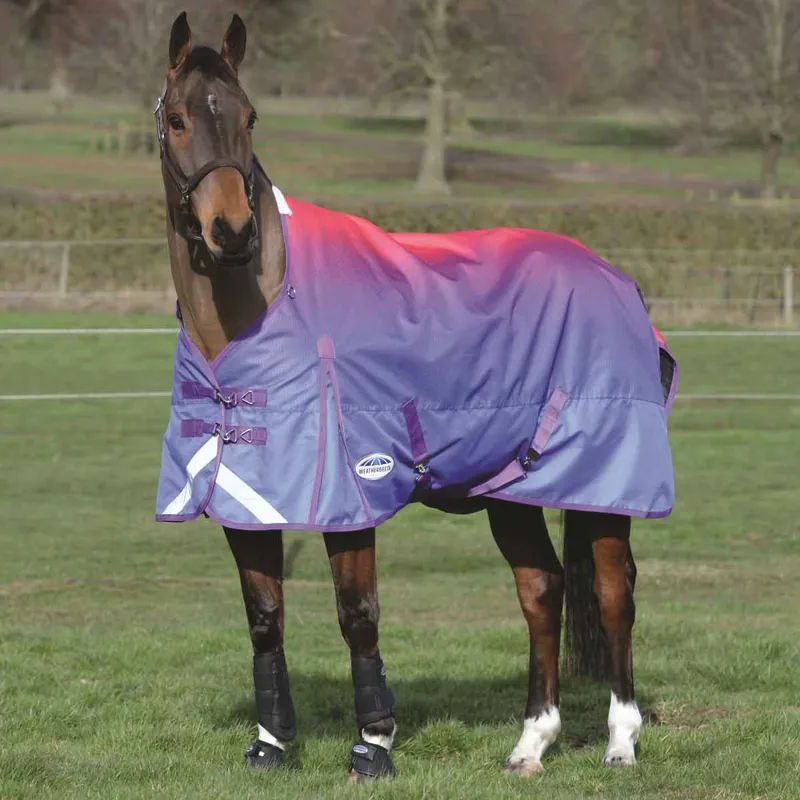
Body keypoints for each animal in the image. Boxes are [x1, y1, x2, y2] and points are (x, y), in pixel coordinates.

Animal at [153, 12, 676, 781]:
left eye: (249, 117)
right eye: (179, 119)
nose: (232, 231)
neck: (262, 309)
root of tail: (619, 281)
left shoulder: (351, 491)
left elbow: (357, 613)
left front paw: (373, 744)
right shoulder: (247, 497)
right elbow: (264, 616)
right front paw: (271, 743)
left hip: (603, 484)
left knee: (613, 593)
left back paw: (619, 740)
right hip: (509, 488)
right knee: (541, 591)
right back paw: (531, 743)